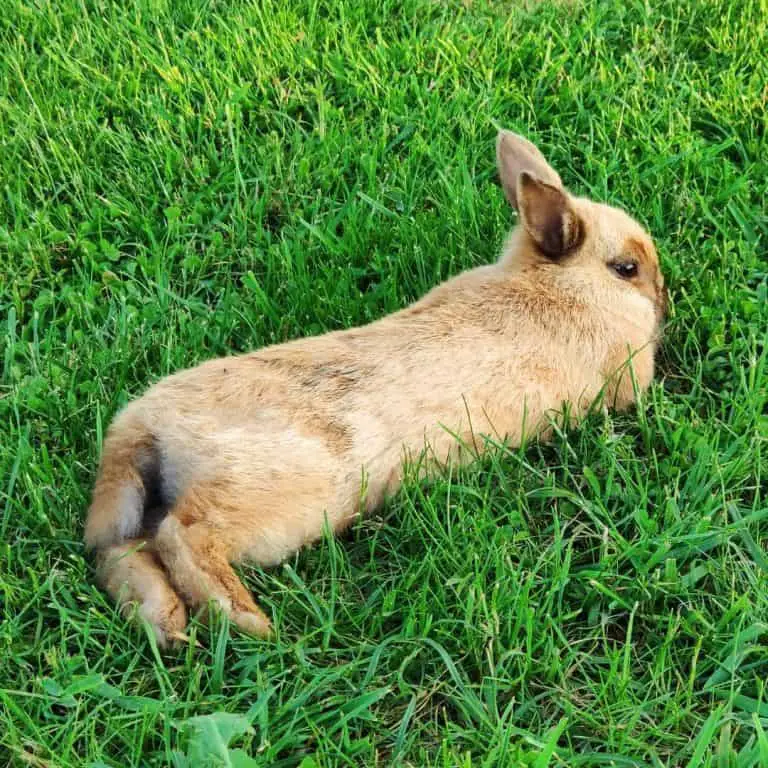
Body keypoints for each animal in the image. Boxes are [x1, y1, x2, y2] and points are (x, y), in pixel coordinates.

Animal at [84, 130, 667, 646]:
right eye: (626, 268)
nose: (665, 297)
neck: (556, 284)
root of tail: (142, 426)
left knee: (120, 551)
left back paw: (167, 626)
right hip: (275, 497)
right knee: (184, 536)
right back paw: (249, 623)